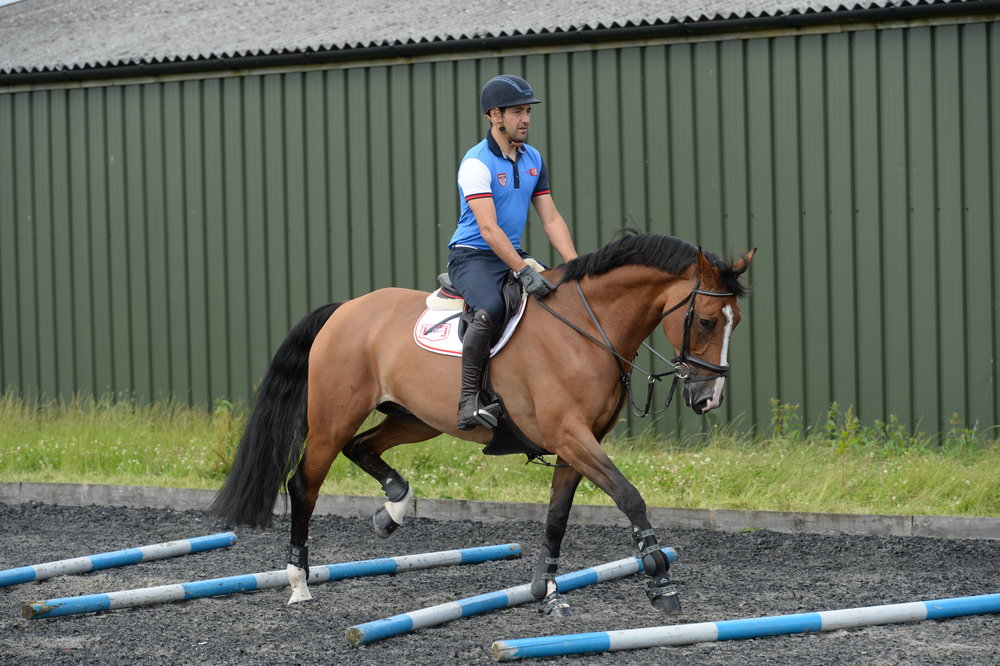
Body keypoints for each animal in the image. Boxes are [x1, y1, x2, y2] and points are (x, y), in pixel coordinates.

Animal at [209, 231, 754, 616]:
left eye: (737, 323)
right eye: (707, 321)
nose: (708, 399)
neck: (586, 330)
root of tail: (345, 310)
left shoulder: (576, 444)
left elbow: (557, 517)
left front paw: (547, 592)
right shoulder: (571, 435)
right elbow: (630, 496)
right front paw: (661, 583)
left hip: (417, 419)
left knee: (364, 448)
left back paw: (393, 509)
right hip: (331, 418)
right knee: (305, 485)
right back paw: (299, 581)